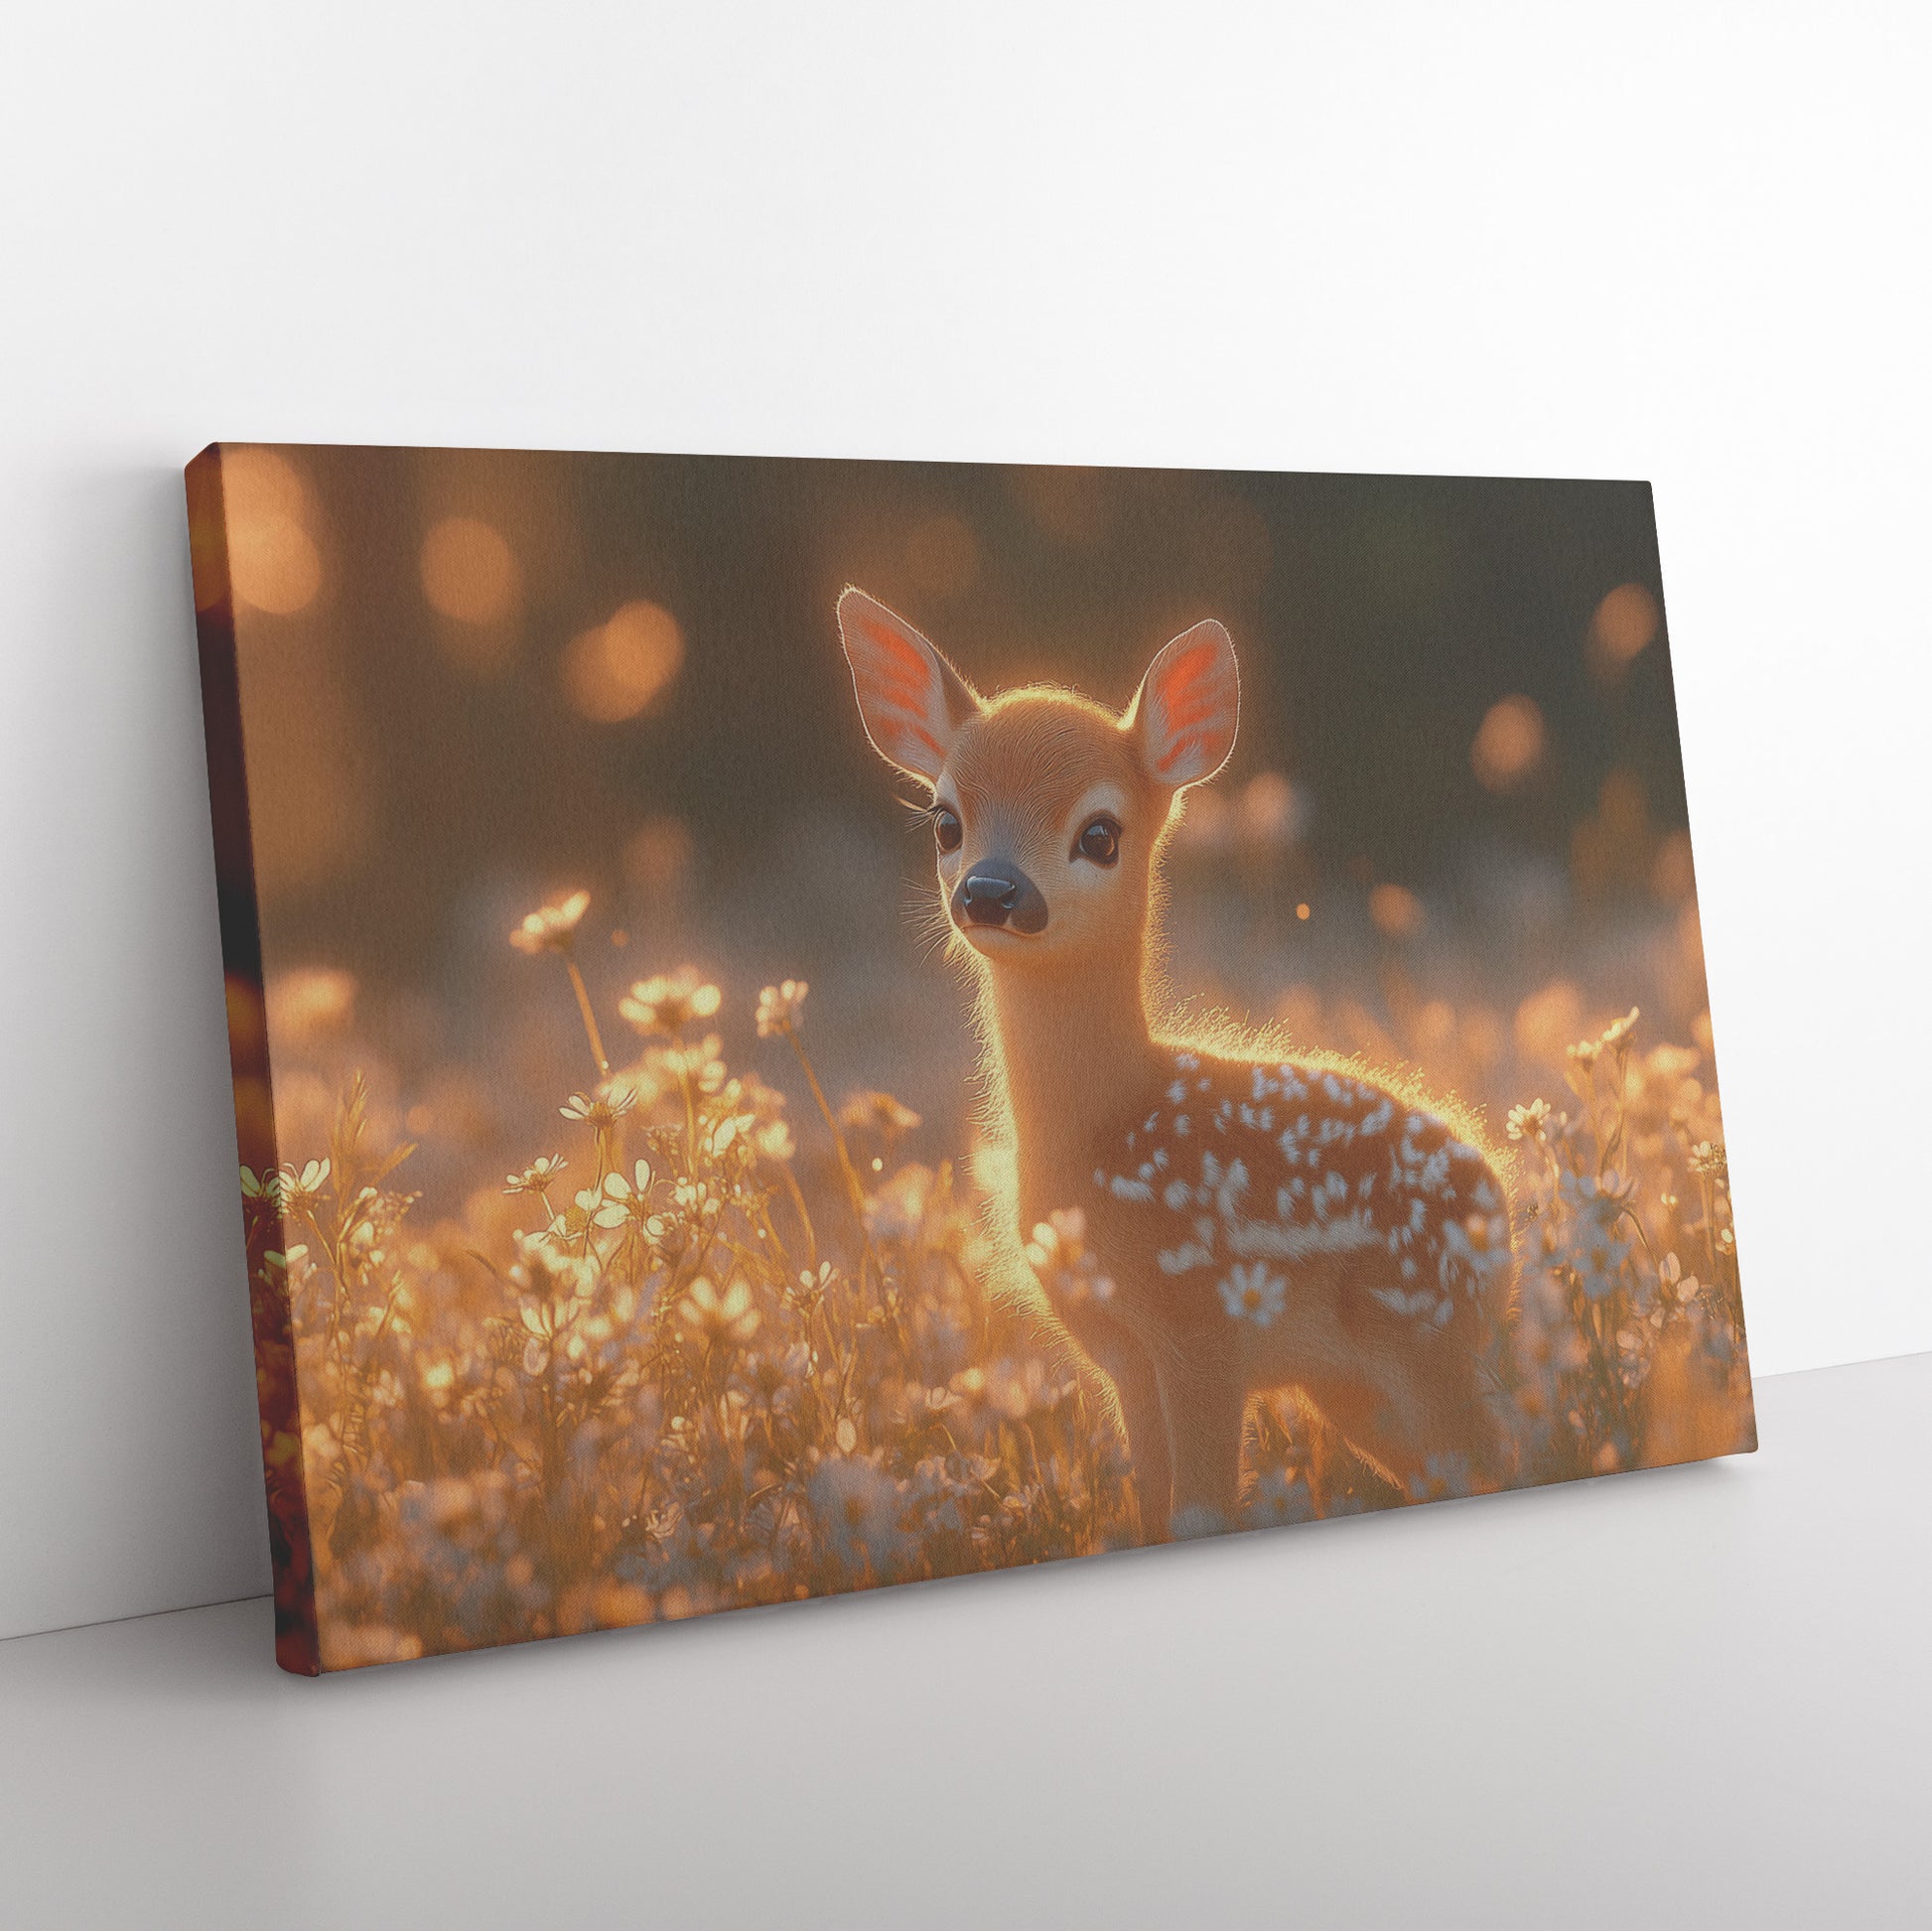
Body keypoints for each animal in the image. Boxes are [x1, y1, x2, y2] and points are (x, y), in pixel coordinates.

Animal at [838, 587, 1516, 1541]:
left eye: (1100, 832)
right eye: (946, 820)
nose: (992, 891)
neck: (1104, 1128)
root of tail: (1505, 1211)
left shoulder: (1201, 1323)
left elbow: (1202, 1506)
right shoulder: (1121, 1350)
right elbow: (1154, 1506)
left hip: (1425, 1332)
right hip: (1356, 1384)